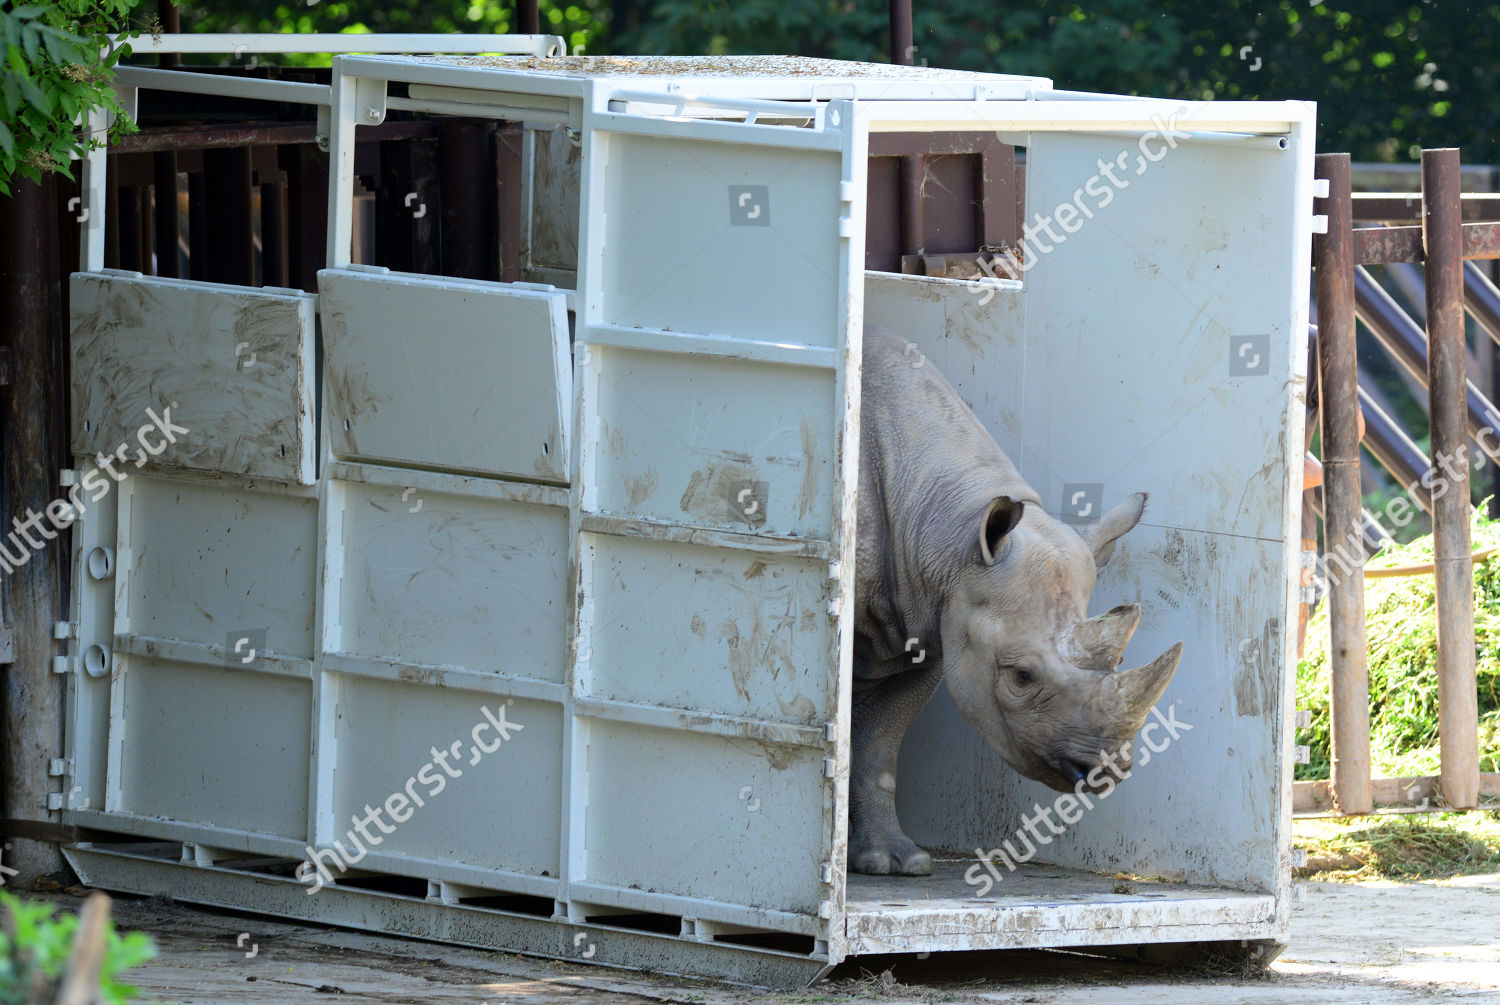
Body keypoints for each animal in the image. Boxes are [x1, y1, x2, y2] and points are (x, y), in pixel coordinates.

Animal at [850, 326, 1183, 876]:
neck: (949, 533)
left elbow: (881, 742)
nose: (1105, 770)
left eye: (1120, 660)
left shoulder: (929, 623)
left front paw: (894, 862)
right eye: (1023, 676)